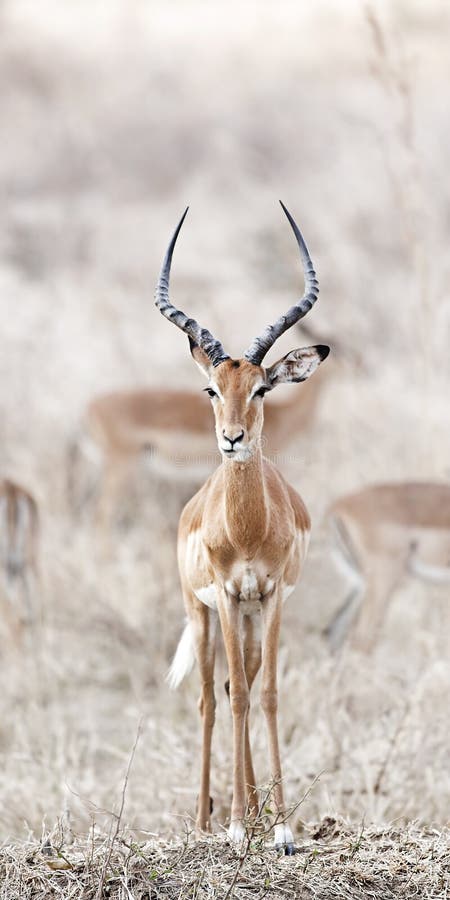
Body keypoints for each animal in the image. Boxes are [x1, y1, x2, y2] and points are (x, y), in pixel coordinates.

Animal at [157, 203, 329, 852]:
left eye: (260, 387)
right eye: (212, 387)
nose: (231, 438)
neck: (248, 531)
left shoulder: (270, 595)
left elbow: (270, 695)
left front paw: (279, 827)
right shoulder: (229, 597)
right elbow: (228, 701)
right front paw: (234, 826)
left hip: (252, 616)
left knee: (244, 686)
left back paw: (255, 811)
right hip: (201, 612)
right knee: (212, 696)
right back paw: (209, 821)